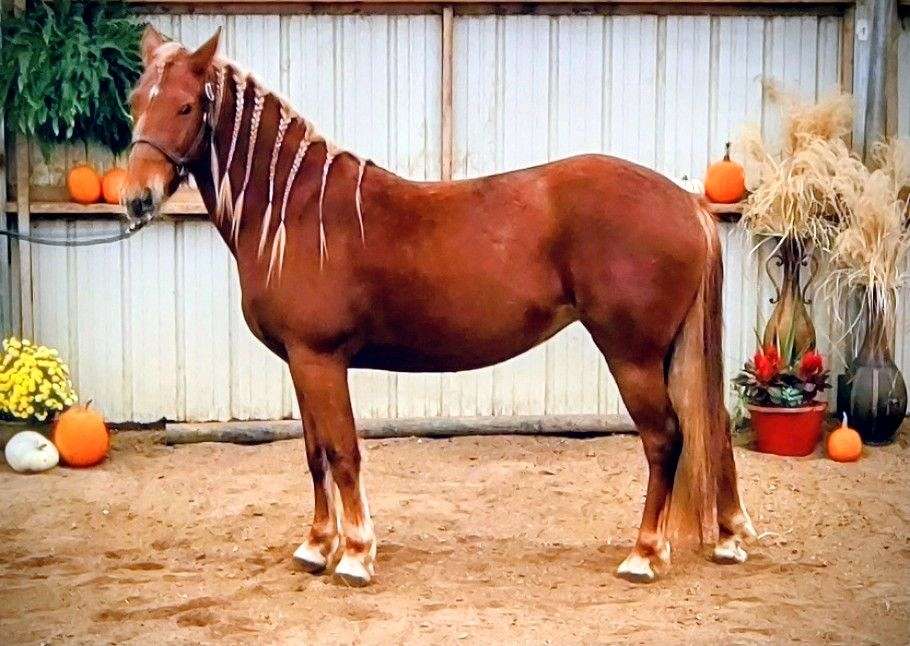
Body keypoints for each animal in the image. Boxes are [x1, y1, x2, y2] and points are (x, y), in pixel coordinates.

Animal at [123, 25, 756, 587]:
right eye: (134, 103)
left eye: (185, 107)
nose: (136, 199)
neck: (297, 213)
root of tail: (687, 204)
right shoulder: (301, 364)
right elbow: (313, 453)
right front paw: (316, 547)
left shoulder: (320, 359)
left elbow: (343, 453)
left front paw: (356, 556)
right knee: (713, 431)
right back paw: (725, 538)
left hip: (632, 356)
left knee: (666, 439)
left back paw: (644, 556)